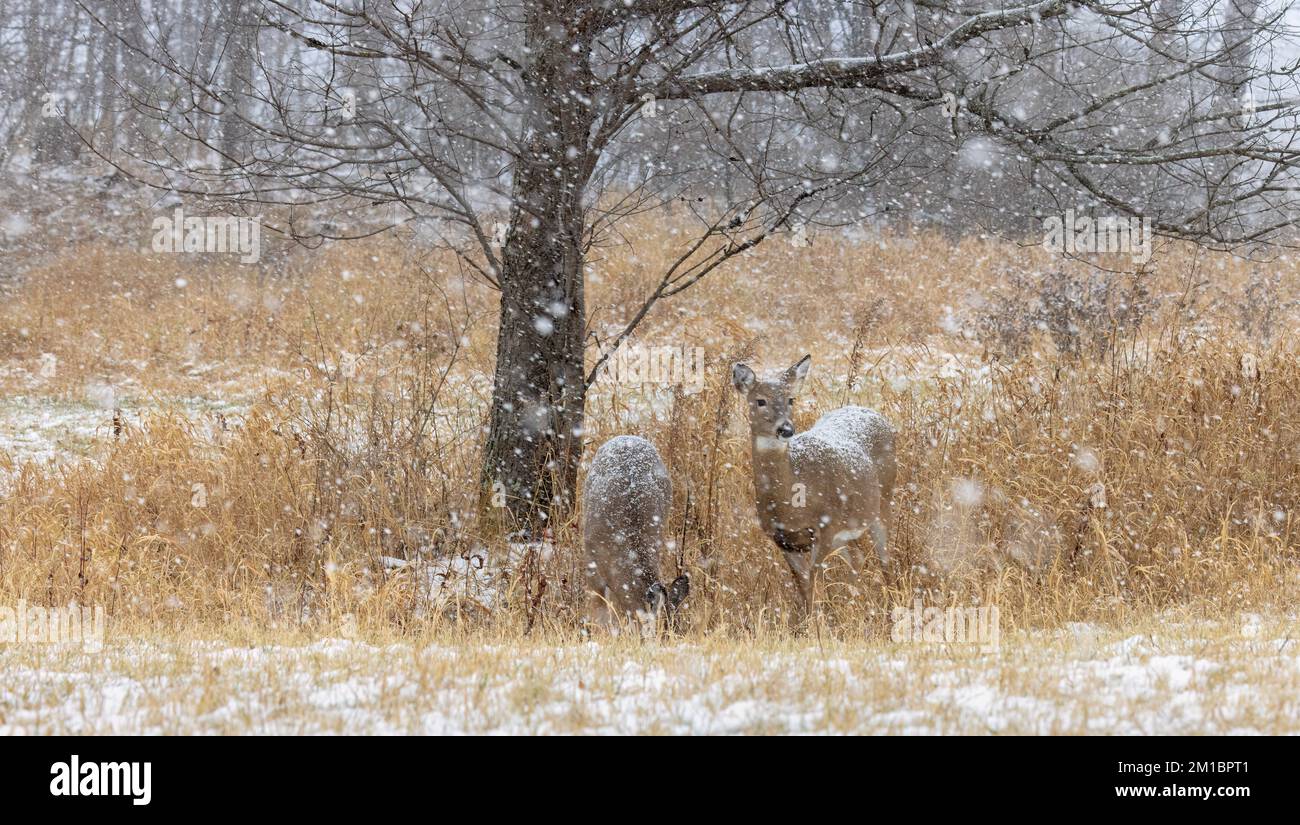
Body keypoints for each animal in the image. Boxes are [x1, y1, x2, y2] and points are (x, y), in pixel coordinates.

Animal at [732, 355, 896, 621]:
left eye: (791, 399)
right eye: (760, 400)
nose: (786, 429)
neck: (792, 506)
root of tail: (870, 411)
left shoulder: (826, 527)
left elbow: (814, 580)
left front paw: (817, 624)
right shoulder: (783, 540)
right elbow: (804, 584)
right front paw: (807, 622)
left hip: (883, 504)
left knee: (885, 559)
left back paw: (890, 608)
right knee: (858, 556)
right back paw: (854, 603)